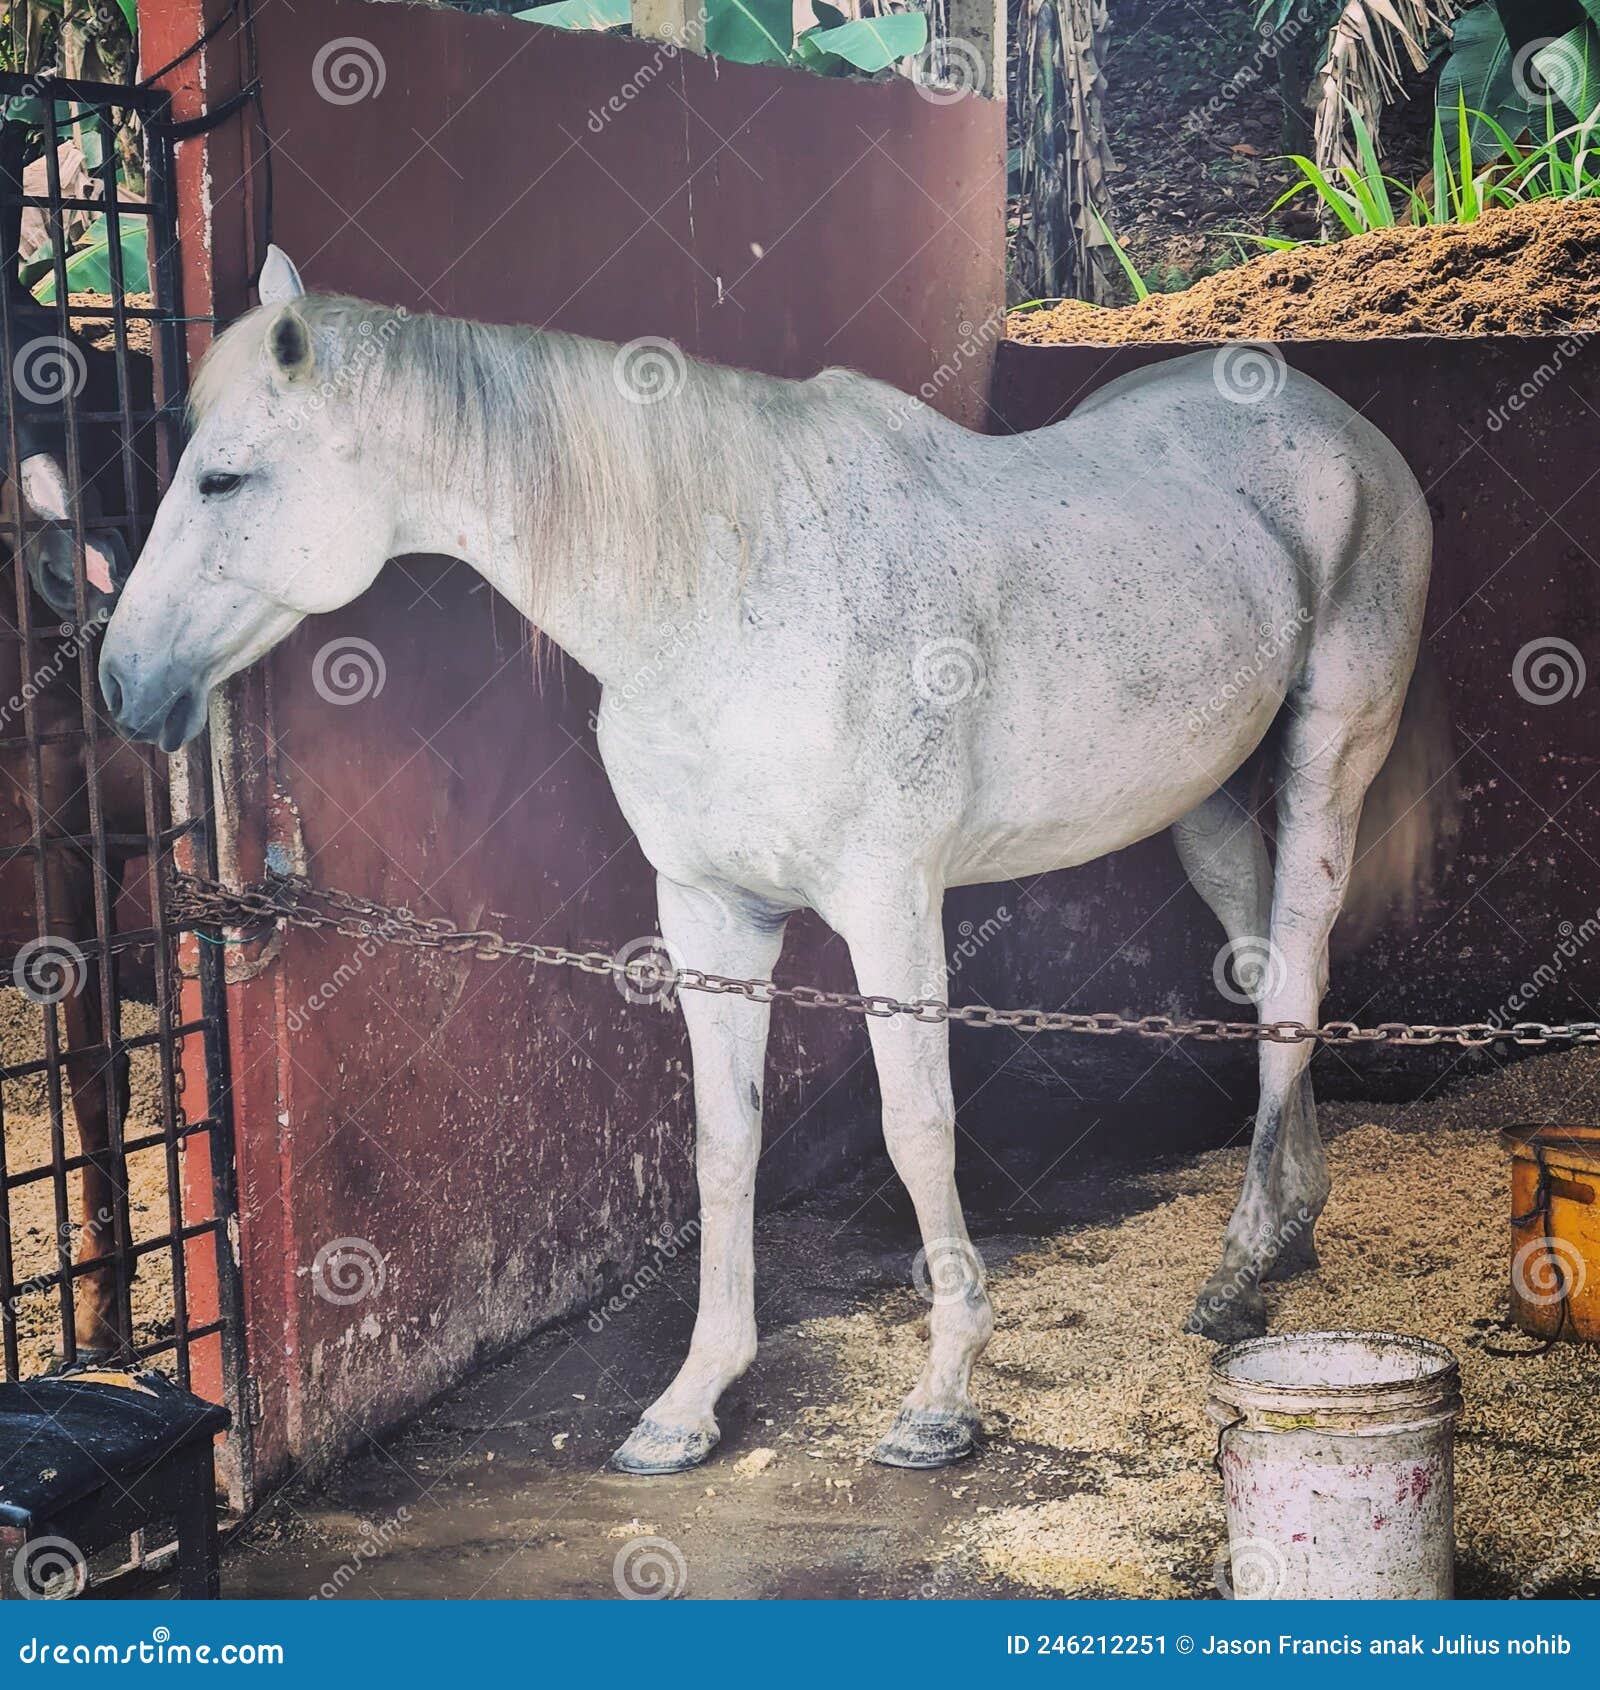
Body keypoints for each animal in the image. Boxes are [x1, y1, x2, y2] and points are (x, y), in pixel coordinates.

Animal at [98, 247, 1436, 1473]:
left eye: (223, 475)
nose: (119, 683)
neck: (727, 594)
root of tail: (1336, 427)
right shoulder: (710, 912)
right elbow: (720, 1142)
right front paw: (689, 1400)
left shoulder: (890, 904)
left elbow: (916, 1127)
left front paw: (941, 1395)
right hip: (1201, 797)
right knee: (1261, 973)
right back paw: (1284, 1226)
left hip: (1328, 756)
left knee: (1298, 975)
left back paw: (1238, 1263)